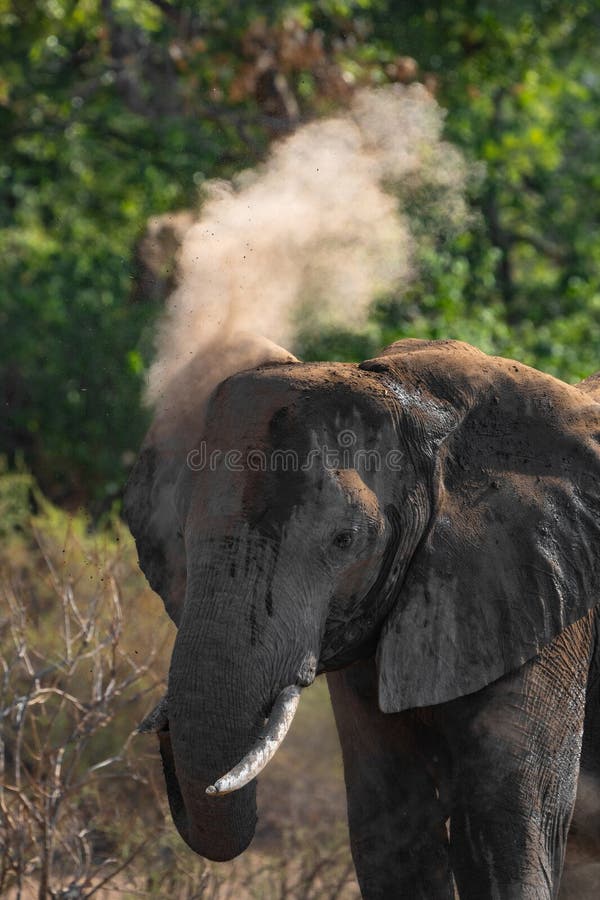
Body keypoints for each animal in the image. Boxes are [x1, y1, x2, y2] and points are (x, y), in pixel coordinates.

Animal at [125, 338, 600, 899]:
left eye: (344, 540)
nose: (162, 737)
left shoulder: (540, 597)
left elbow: (506, 836)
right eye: (181, 532)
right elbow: (392, 832)